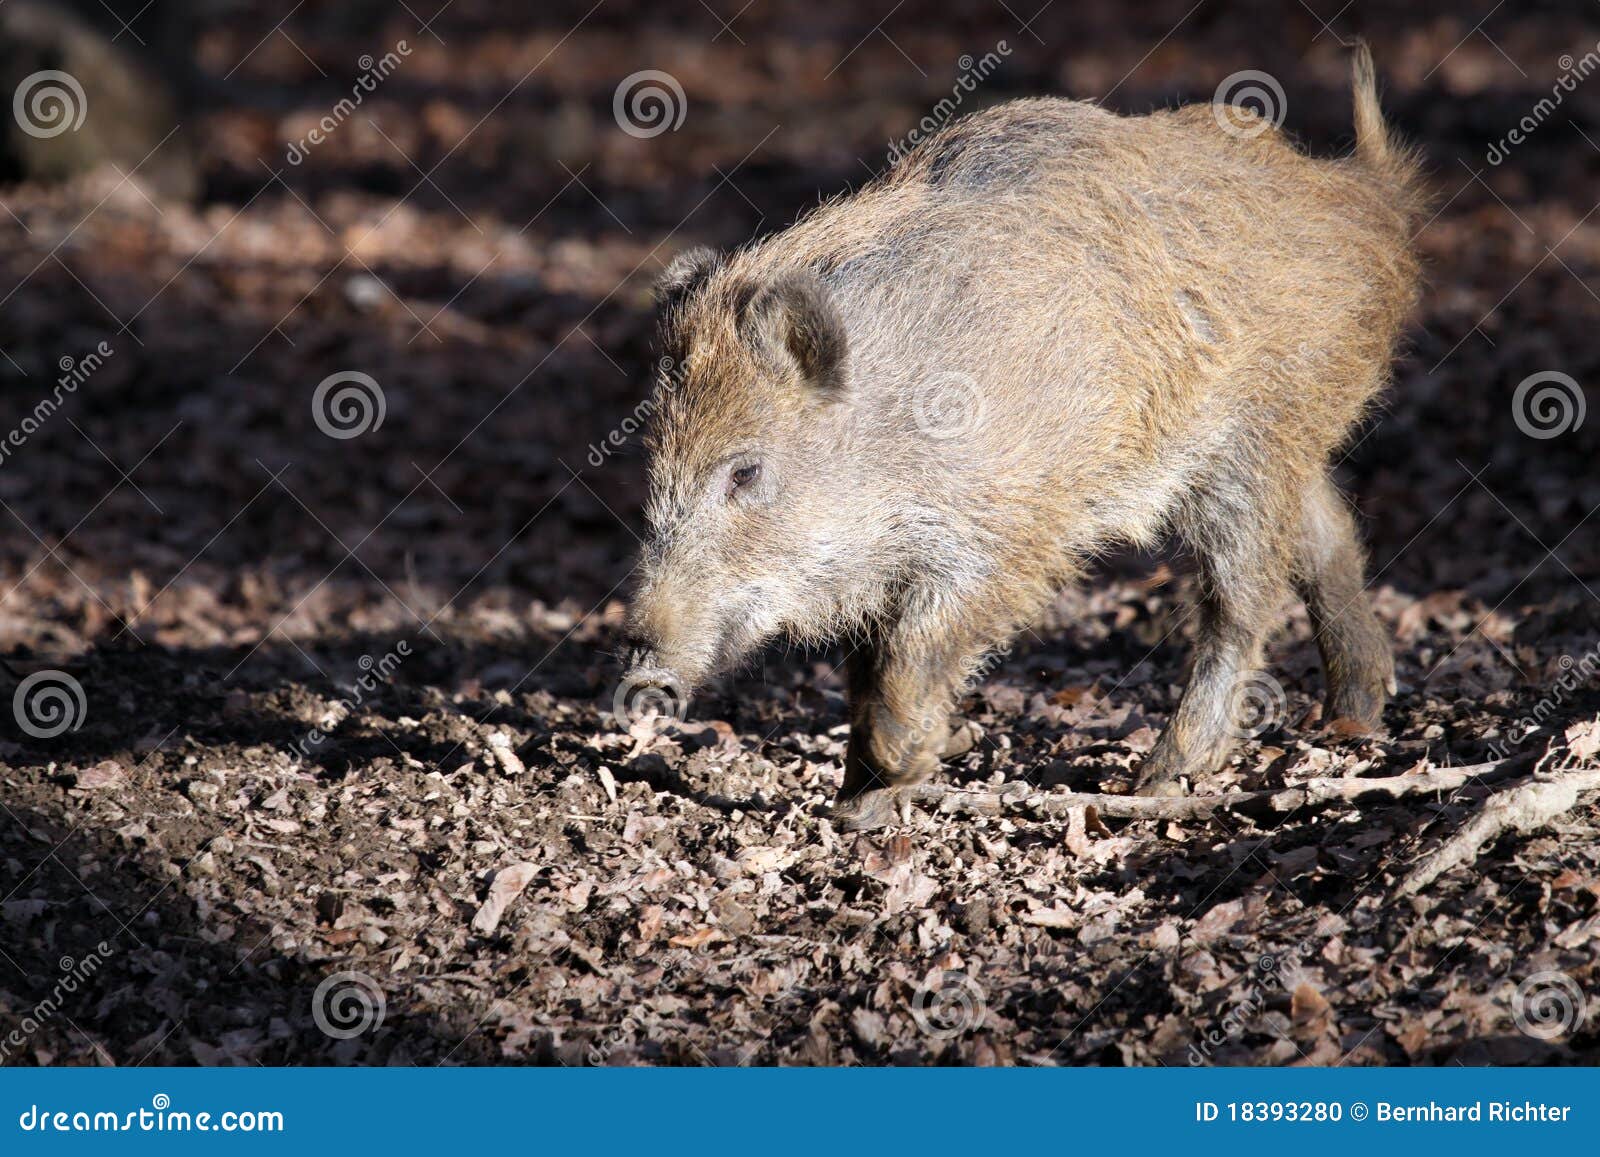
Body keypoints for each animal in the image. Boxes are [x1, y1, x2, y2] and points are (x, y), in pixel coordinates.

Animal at [619, 44, 1424, 831]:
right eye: (652, 463)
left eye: (745, 471)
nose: (643, 671)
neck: (891, 434)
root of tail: (1367, 200)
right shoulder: (877, 569)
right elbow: (866, 676)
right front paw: (858, 807)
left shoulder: (1009, 533)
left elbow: (911, 660)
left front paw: (905, 774)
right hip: (1282, 445)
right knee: (1327, 538)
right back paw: (1355, 717)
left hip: (1249, 445)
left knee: (1243, 604)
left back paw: (1158, 780)